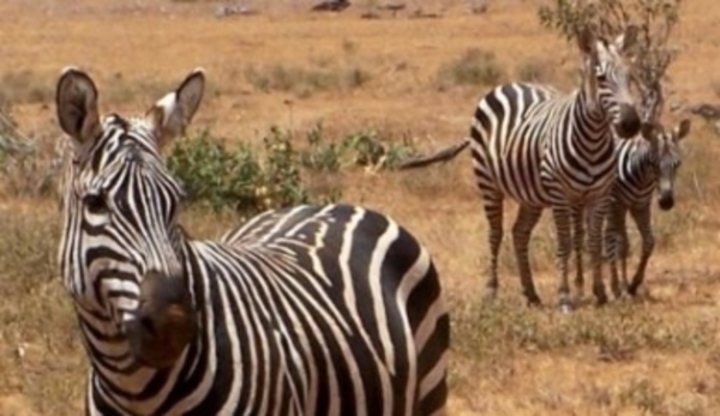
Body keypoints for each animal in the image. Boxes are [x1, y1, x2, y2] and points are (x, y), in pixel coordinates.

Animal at [55, 67, 449, 415]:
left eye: (177, 200)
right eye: (95, 203)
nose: (175, 325)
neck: (133, 390)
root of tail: (342, 205)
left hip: (430, 392)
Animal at [399, 26, 641, 309]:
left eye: (630, 76)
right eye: (601, 78)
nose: (631, 124)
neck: (592, 141)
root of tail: (508, 84)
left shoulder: (600, 194)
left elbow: (594, 241)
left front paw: (600, 293)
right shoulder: (559, 195)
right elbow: (564, 242)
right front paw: (564, 295)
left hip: (531, 195)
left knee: (519, 234)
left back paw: (531, 292)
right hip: (488, 182)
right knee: (496, 234)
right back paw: (491, 291)